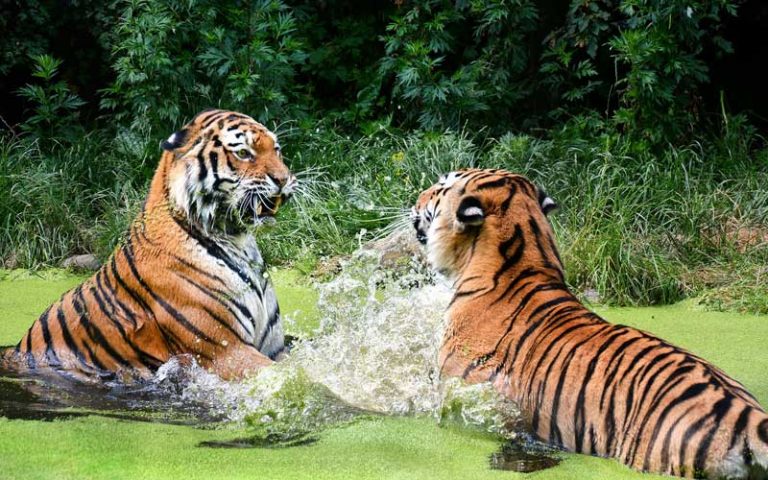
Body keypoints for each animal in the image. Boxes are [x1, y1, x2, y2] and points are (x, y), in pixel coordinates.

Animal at [0, 109, 297, 382]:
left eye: (277, 150)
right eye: (244, 153)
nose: (284, 179)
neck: (238, 241)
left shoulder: (274, 348)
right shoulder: (225, 351)